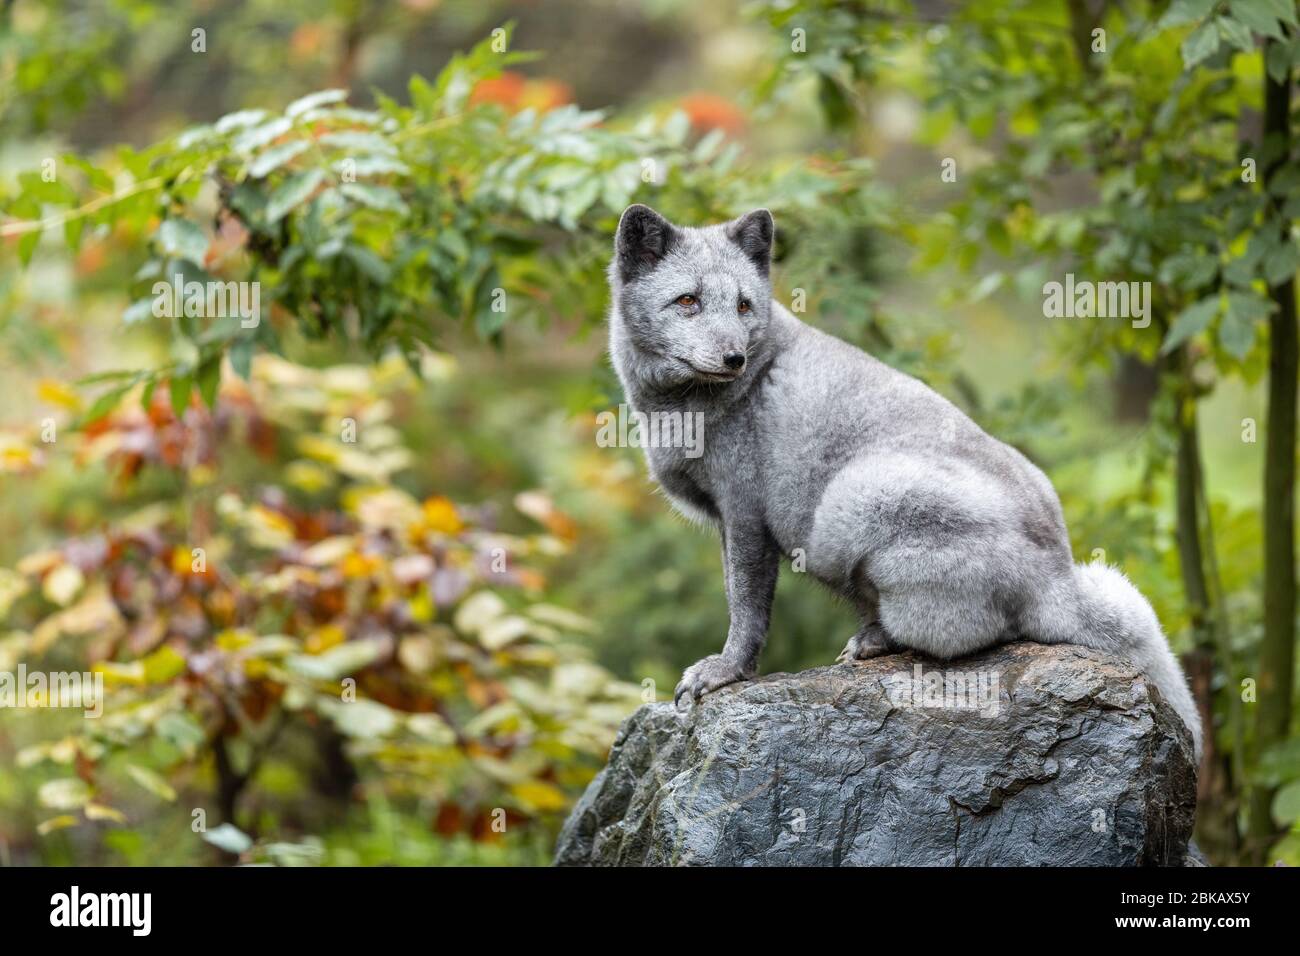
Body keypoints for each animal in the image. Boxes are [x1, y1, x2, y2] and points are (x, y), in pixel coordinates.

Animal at [606, 203, 1203, 760]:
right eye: (687, 301)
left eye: (743, 305)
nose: (734, 357)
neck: (686, 409)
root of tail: (1060, 575)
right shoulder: (727, 523)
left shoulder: (746, 513)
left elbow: (746, 606)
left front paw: (727, 670)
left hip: (852, 500)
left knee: (979, 634)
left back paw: (876, 641)